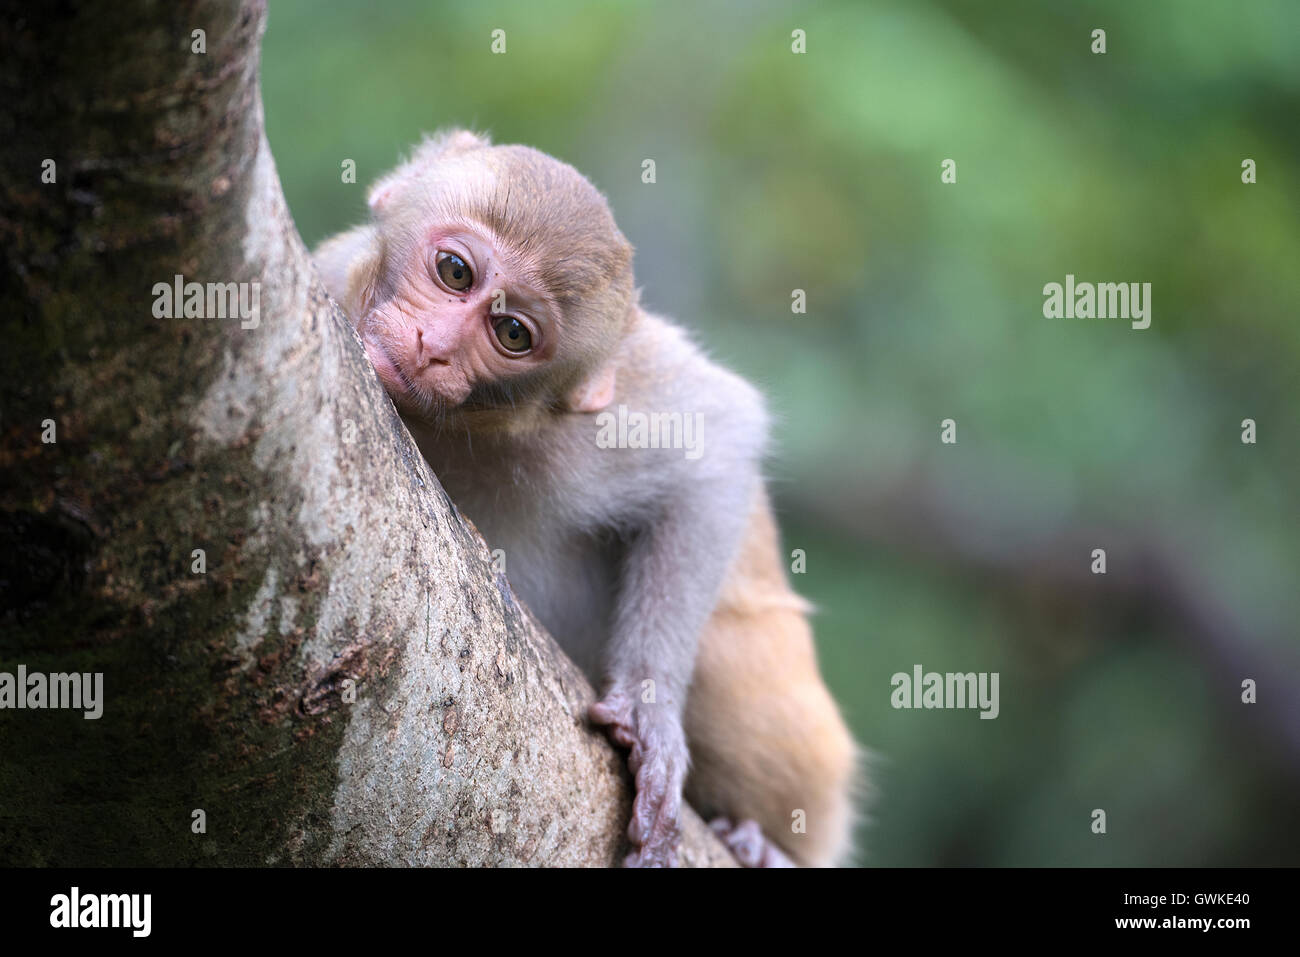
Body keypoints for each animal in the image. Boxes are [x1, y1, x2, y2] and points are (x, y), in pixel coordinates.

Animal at [313, 130, 859, 867]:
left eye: (512, 333)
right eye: (454, 271)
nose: (434, 349)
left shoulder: (584, 433)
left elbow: (720, 438)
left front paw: (650, 711)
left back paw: (761, 841)